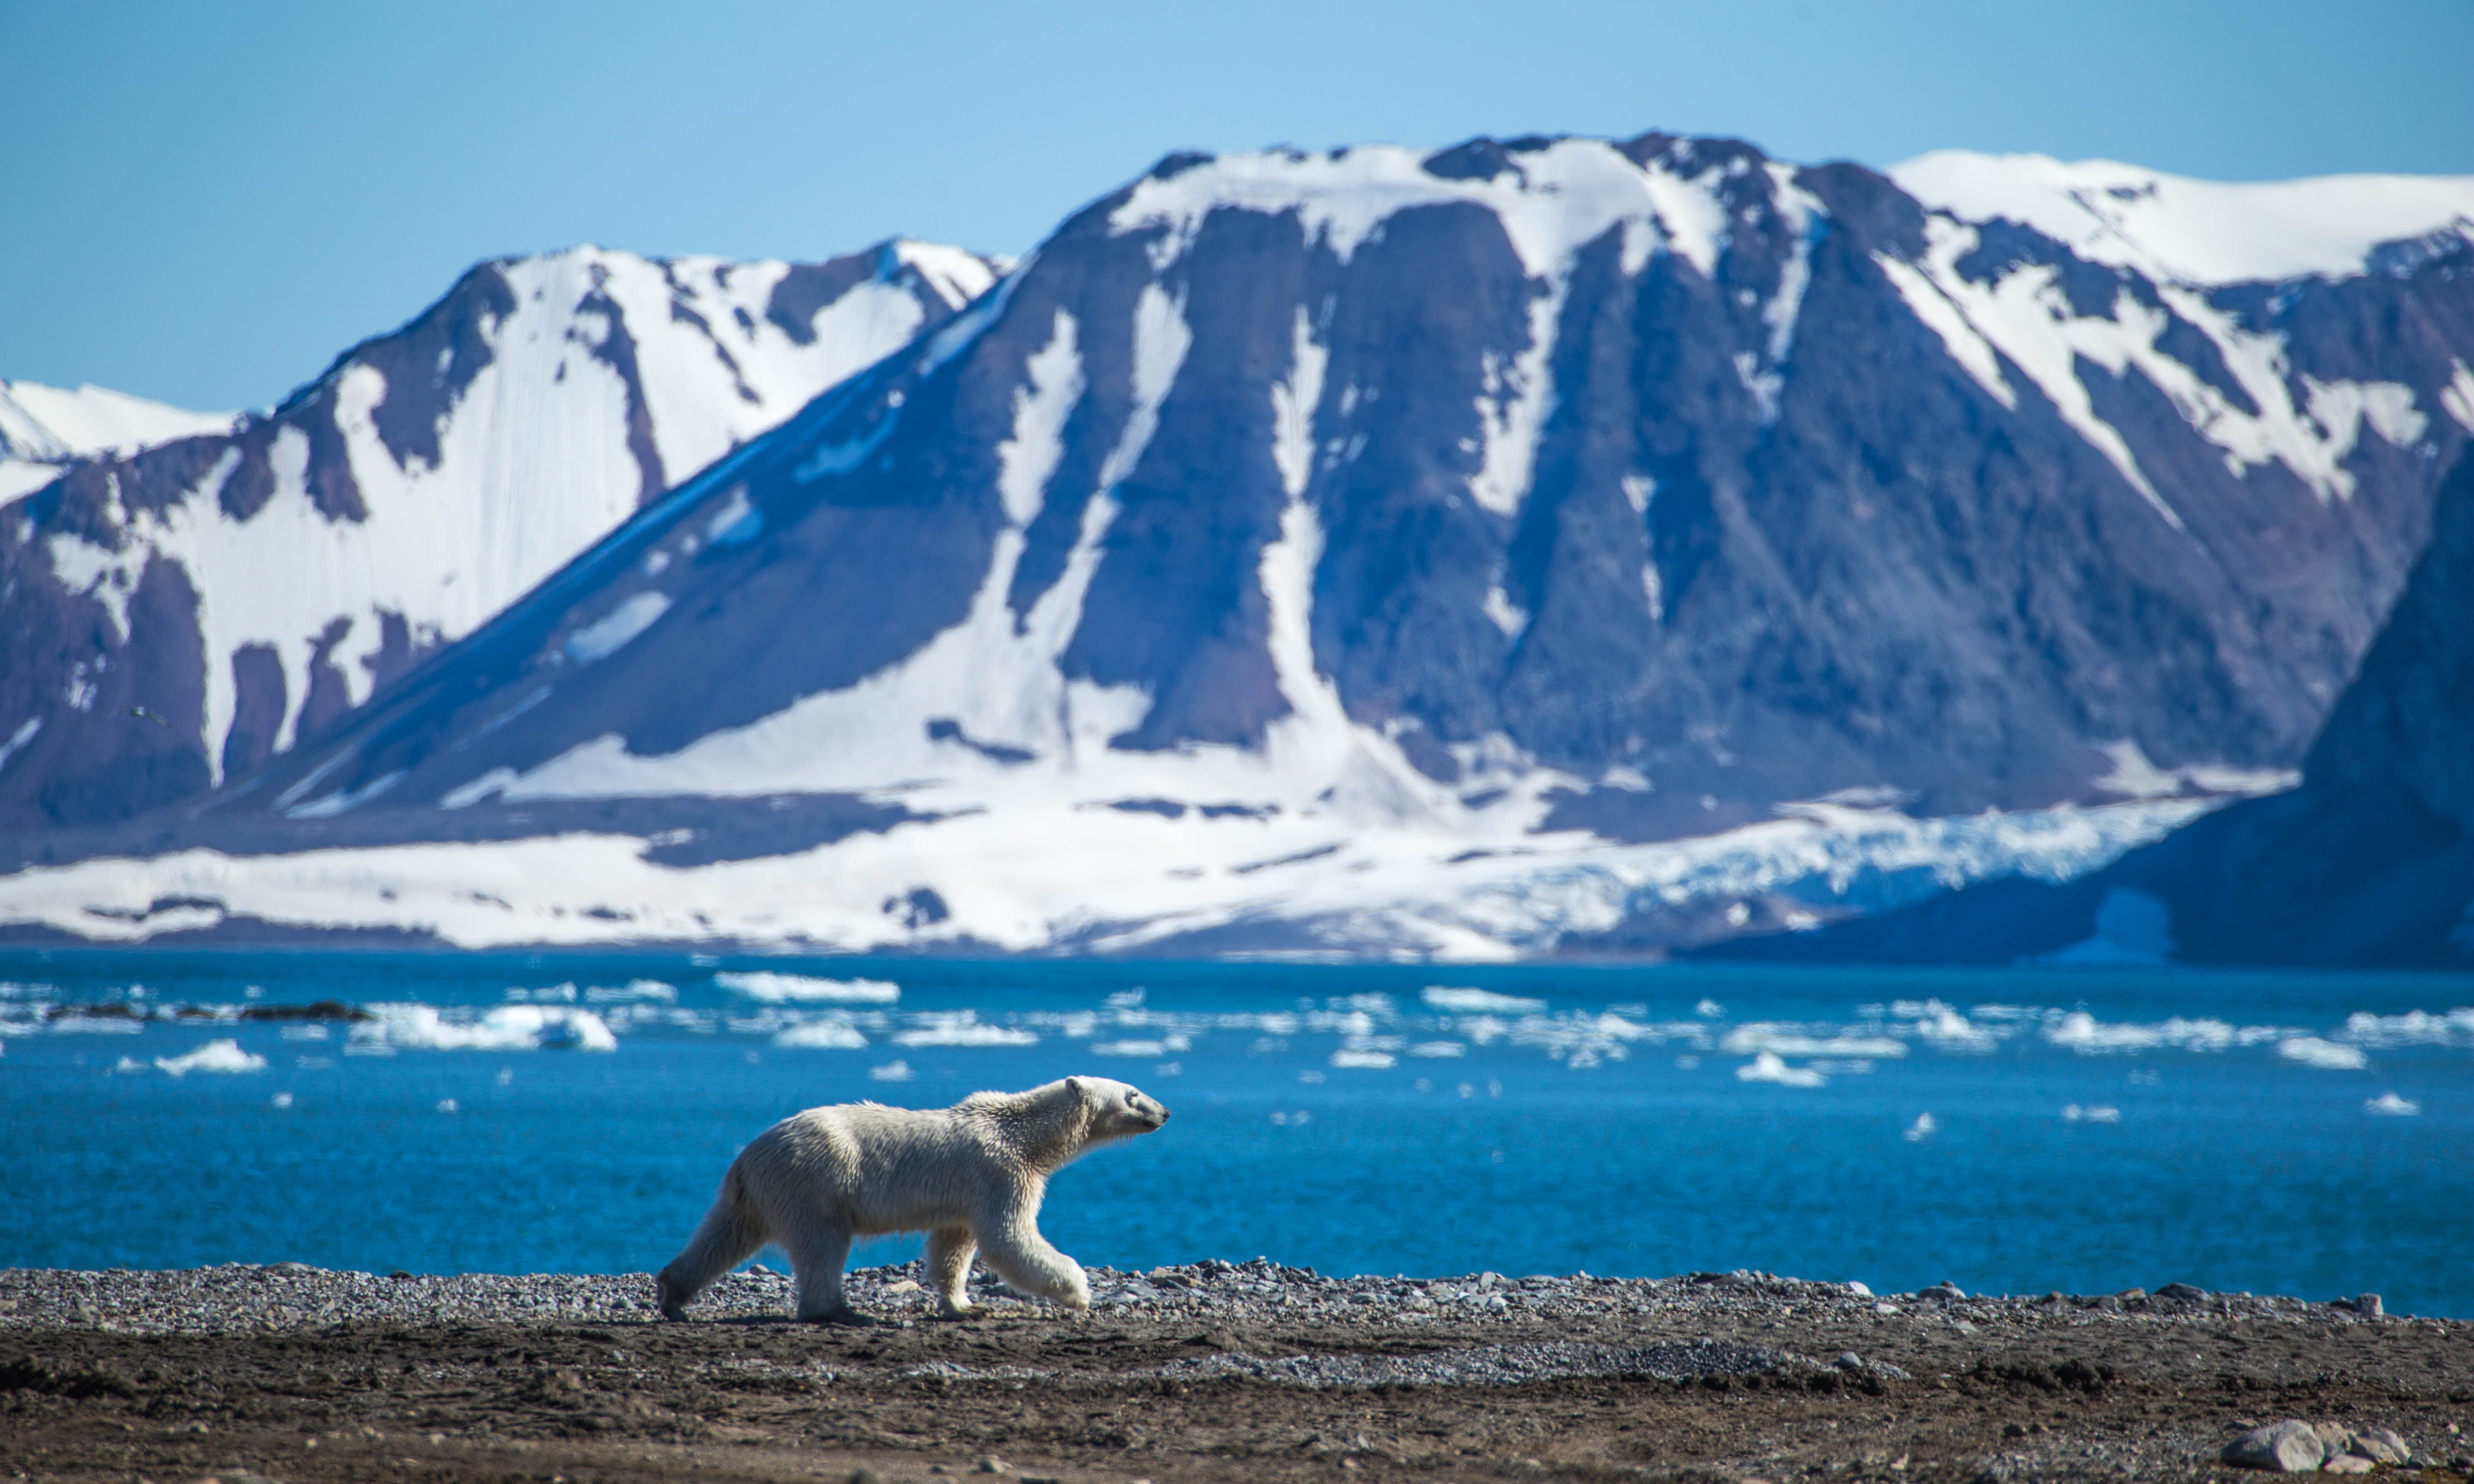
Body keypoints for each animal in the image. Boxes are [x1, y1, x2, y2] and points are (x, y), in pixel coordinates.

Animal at [655, 1075, 1170, 1325]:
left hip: (759, 1193)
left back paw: (673, 1294)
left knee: (724, 1235)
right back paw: (841, 1311)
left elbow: (954, 1246)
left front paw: (965, 1305)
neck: (1023, 1134)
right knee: (822, 1244)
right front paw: (1079, 1290)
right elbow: (1010, 1237)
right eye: (1132, 1093)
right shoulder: (1001, 1173)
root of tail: (747, 1155)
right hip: (815, 1181)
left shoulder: (966, 1194)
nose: (1165, 1111)